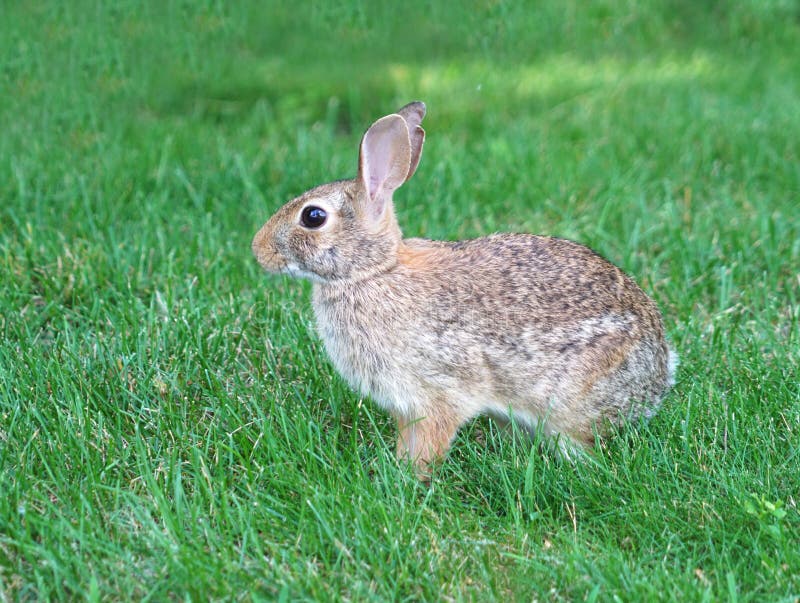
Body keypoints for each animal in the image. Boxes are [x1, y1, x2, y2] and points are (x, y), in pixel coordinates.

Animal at [252, 101, 678, 477]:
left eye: (313, 216)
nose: (258, 250)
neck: (372, 272)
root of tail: (658, 375)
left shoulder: (439, 392)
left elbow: (430, 441)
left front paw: (410, 478)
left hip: (569, 402)